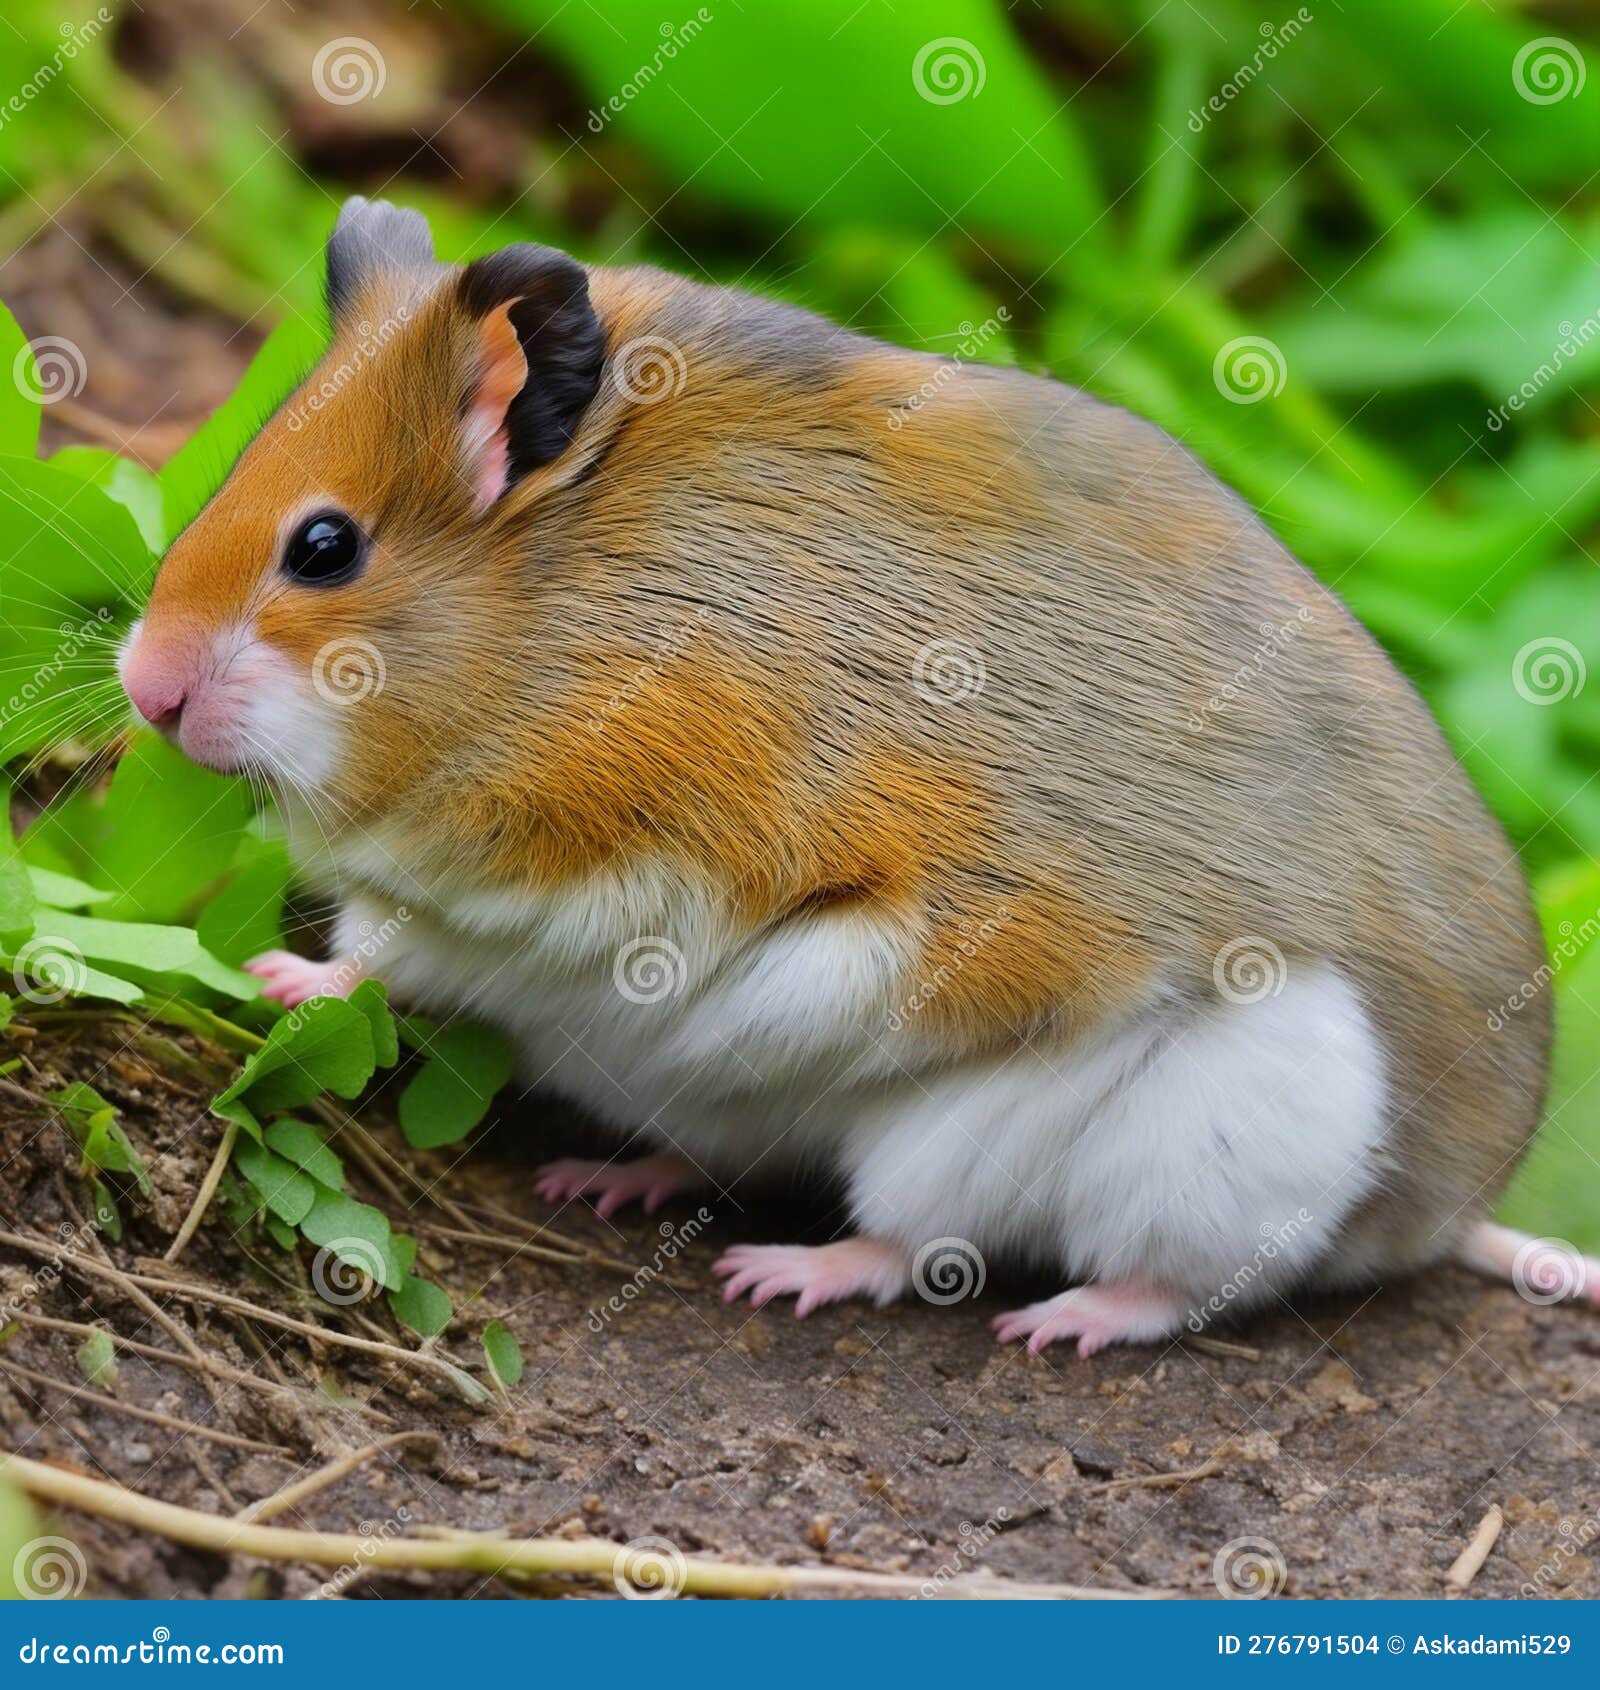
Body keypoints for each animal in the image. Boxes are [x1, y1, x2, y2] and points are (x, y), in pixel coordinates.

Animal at [118, 196, 1589, 1355]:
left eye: (324, 548)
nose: (145, 688)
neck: (564, 616)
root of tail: (1442, 1207)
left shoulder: (640, 872)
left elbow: (426, 950)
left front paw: (281, 976)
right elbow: (376, 943)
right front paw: (277, 973)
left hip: (1107, 1139)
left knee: (992, 1258)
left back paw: (913, 1290)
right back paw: (620, 1180)